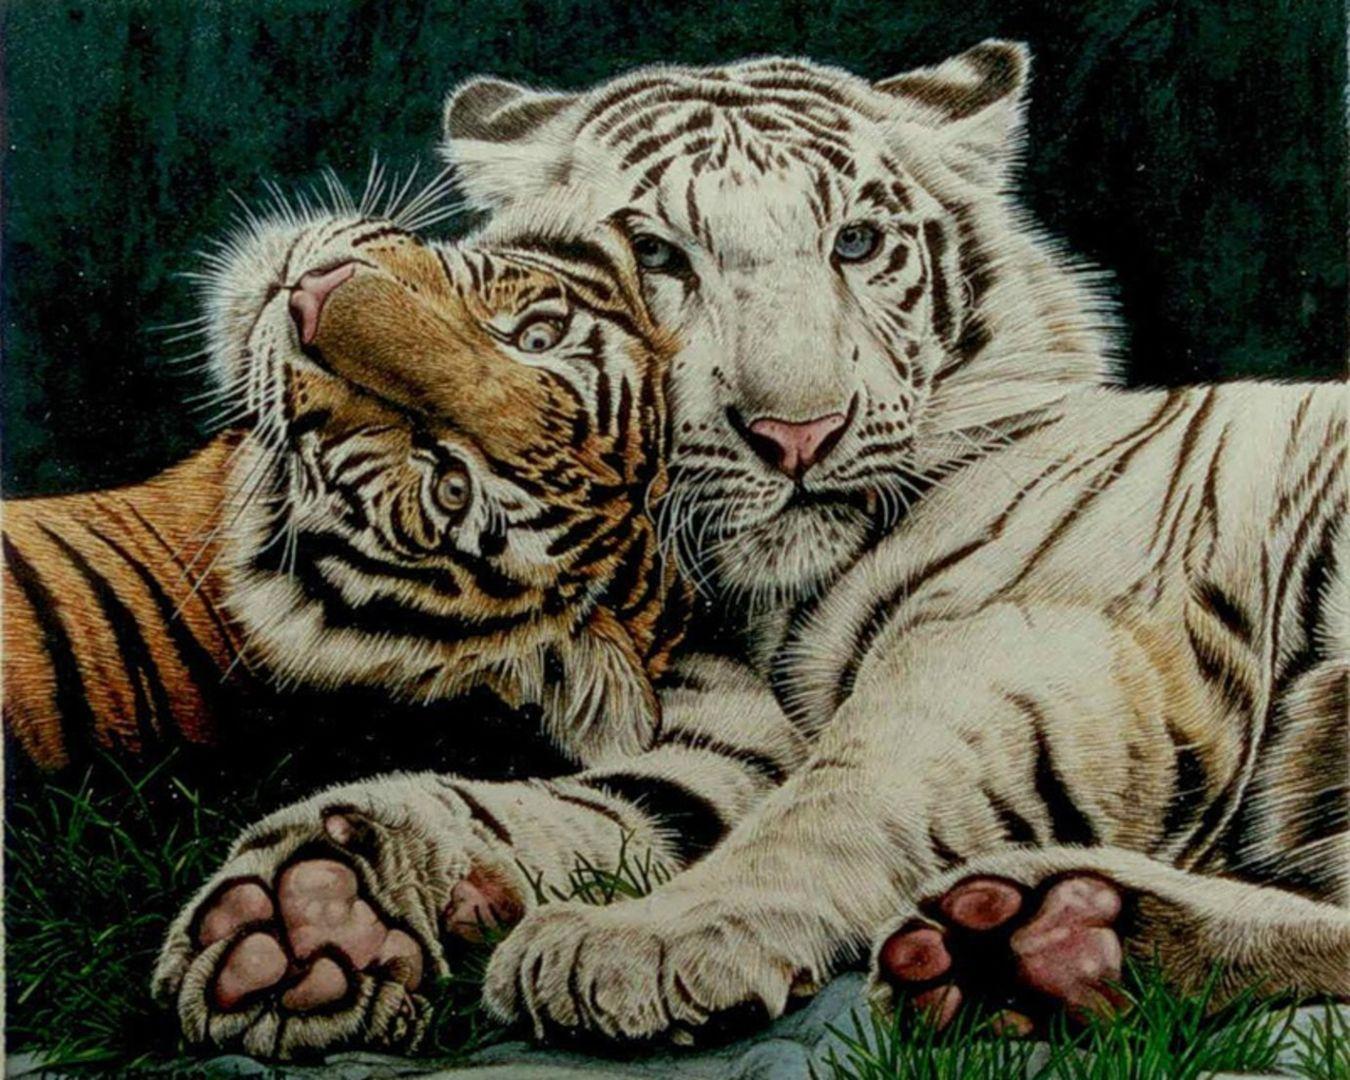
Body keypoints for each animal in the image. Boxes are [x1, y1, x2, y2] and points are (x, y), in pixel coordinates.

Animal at [156, 40, 1348, 1058]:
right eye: (656, 254)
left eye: (855, 243)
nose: (799, 433)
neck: (736, 602)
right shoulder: (724, 743)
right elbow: (582, 805)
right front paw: (304, 911)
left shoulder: (1038, 640)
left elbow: (835, 796)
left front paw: (643, 942)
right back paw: (1053, 940)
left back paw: (1042, 943)